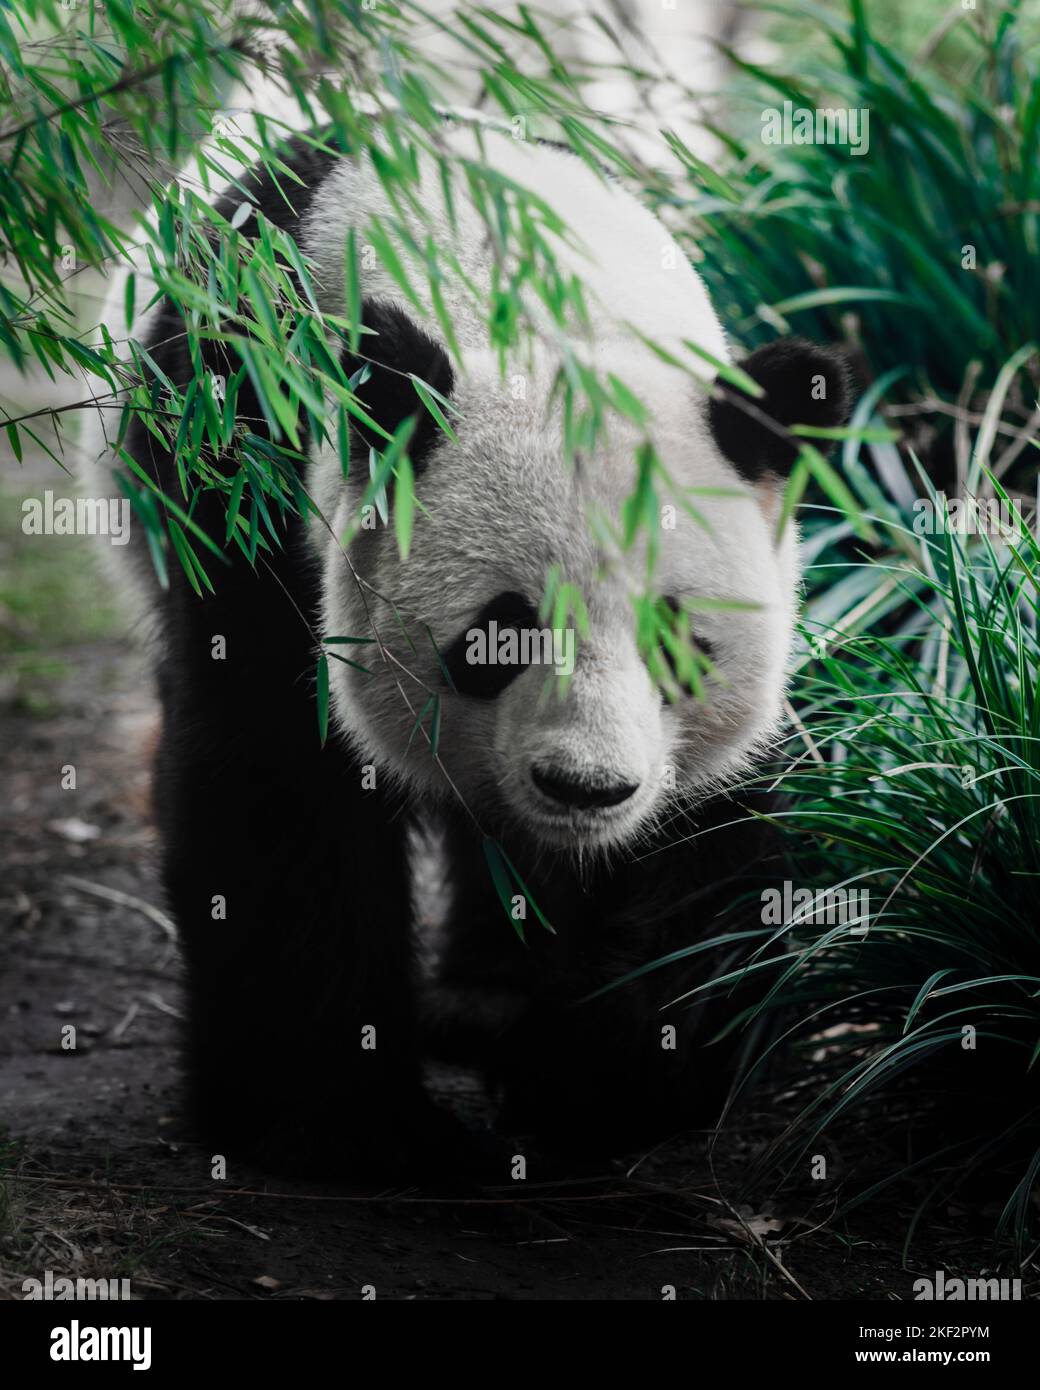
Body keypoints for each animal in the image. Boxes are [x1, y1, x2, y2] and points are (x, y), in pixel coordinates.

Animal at [86, 124, 850, 1178]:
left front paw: (596, 1088)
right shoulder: (244, 473)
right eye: (499, 634)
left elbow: (709, 829)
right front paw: (349, 1127)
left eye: (677, 646)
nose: (585, 789)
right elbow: (279, 780)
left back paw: (487, 1003)